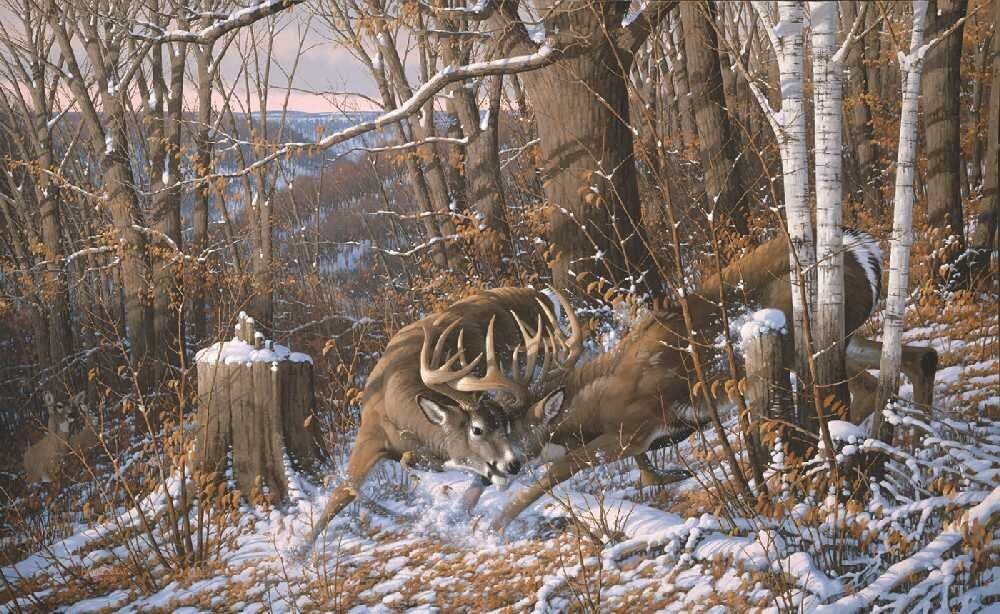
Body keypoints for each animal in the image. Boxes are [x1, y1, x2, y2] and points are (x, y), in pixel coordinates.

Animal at [301, 287, 579, 551]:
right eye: (477, 429)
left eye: (507, 427)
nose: (513, 465)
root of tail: (538, 293)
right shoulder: (369, 431)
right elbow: (342, 494)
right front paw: (300, 551)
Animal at [452, 230, 939, 530]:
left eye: (506, 427)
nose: (499, 468)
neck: (596, 402)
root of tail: (866, 248)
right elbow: (644, 471)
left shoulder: (634, 428)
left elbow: (553, 473)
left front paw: (491, 529)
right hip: (838, 337)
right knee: (916, 360)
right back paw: (915, 449)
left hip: (809, 338)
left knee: (865, 388)